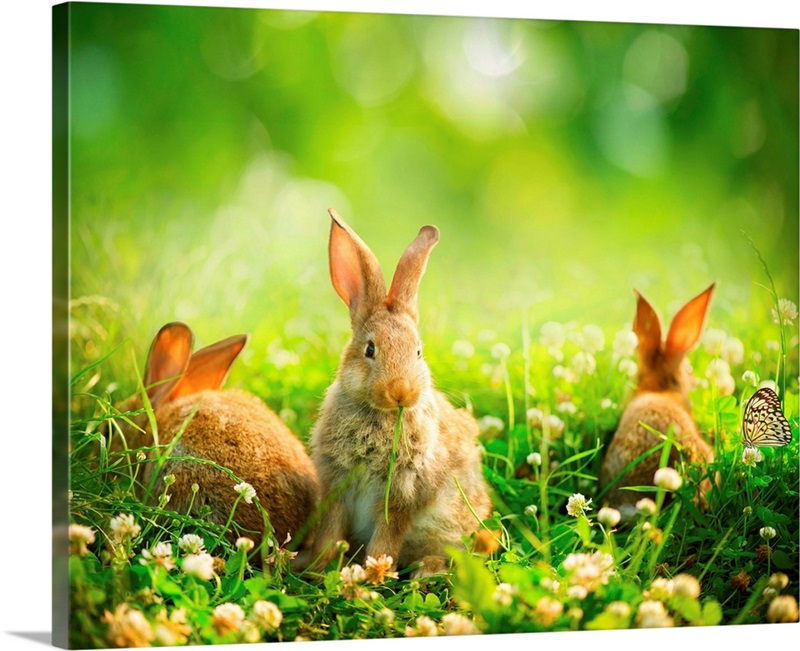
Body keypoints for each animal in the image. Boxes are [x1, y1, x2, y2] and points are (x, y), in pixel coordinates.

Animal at [309, 209, 492, 579]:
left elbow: (385, 540)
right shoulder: (336, 485)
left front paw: (372, 576)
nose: (401, 391)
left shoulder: (402, 497)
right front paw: (320, 568)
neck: (382, 415)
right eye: (370, 349)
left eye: (418, 352)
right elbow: (330, 532)